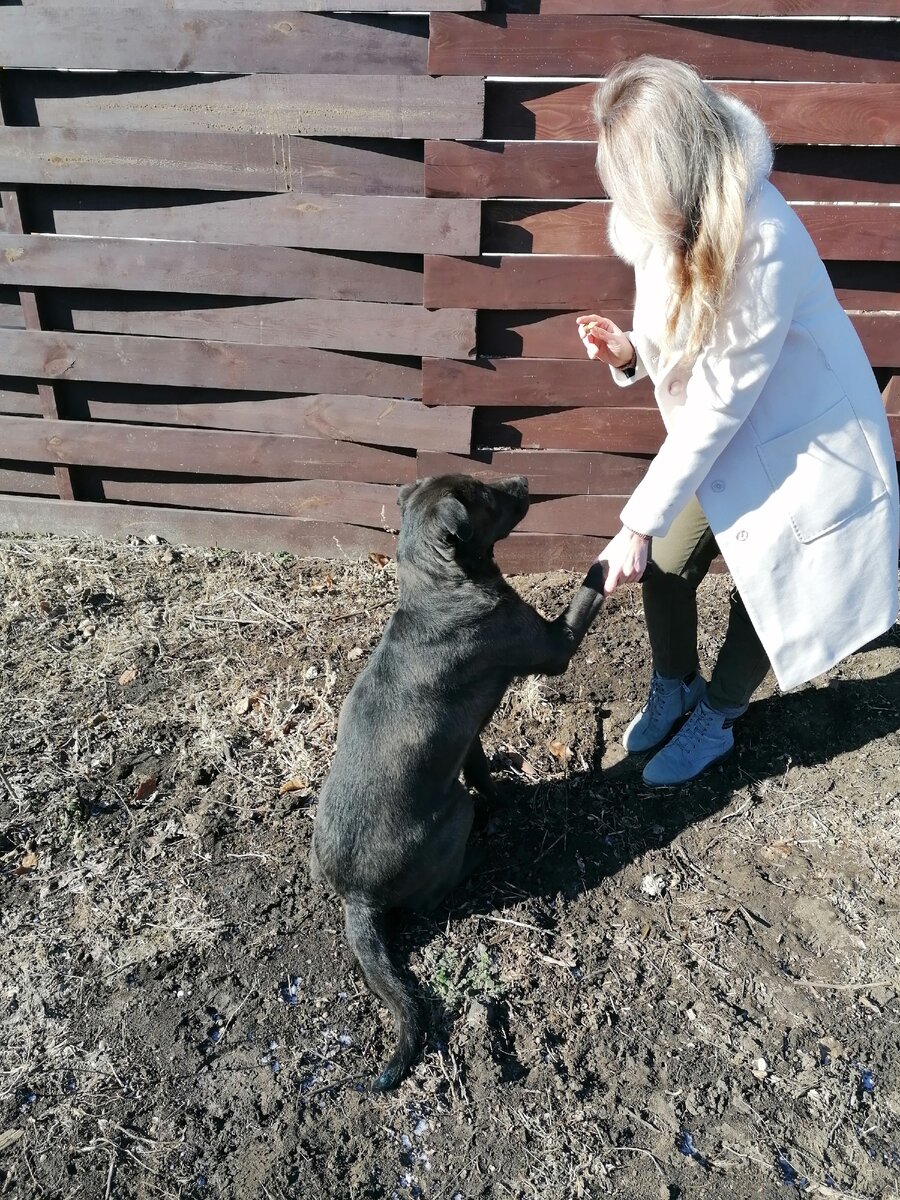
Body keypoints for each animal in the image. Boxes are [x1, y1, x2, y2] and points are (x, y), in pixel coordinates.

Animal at [309, 472, 607, 1094]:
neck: (437, 587)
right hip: (453, 814)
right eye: (489, 496)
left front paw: (506, 785)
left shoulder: (469, 735)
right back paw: (477, 858)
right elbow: (588, 589)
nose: (523, 479)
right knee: (437, 891)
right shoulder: (552, 645)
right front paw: (619, 548)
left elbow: (482, 765)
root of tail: (357, 899)